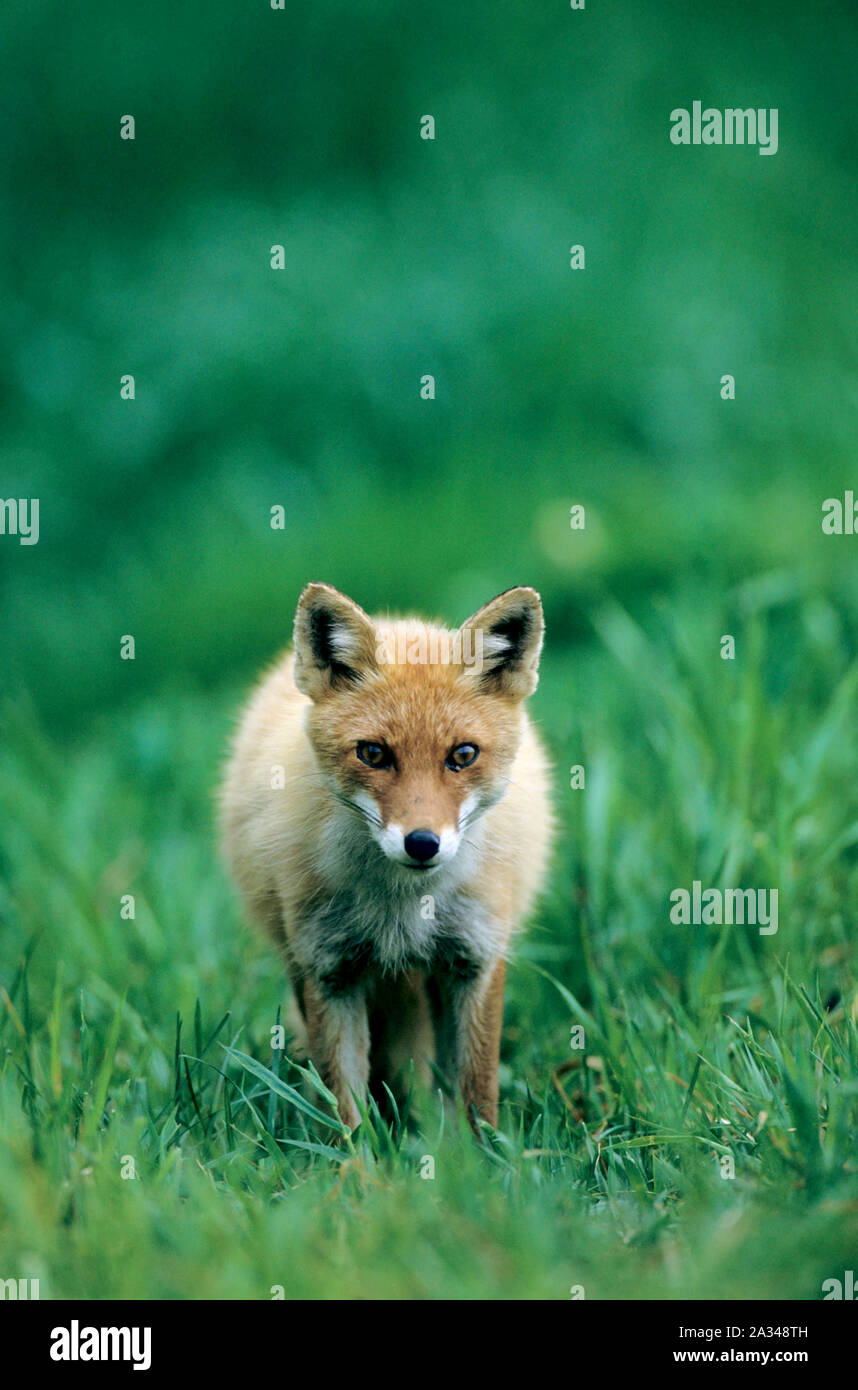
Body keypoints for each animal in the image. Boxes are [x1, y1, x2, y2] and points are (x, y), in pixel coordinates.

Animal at [219, 582, 553, 1132]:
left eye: (463, 755)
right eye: (373, 754)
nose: (422, 843)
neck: (404, 908)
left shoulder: (475, 958)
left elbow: (477, 1093)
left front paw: (484, 1154)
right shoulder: (328, 968)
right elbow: (342, 1108)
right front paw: (354, 1157)